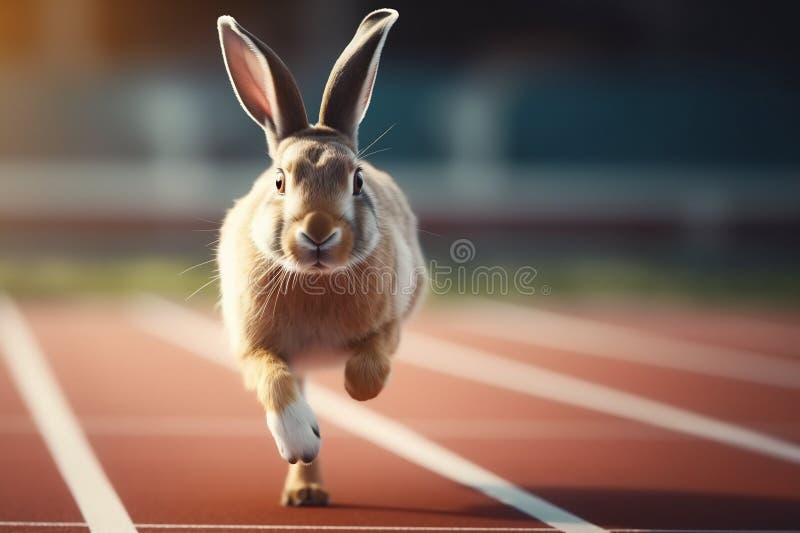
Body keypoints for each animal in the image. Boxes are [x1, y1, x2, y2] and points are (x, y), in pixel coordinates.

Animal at [215, 8, 425, 506]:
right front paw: (301, 437)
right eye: (279, 181)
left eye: (357, 180)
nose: (317, 231)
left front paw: (356, 392)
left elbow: (369, 367)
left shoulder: (389, 325)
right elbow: (274, 381)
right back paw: (304, 490)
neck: (315, 278)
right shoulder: (254, 346)